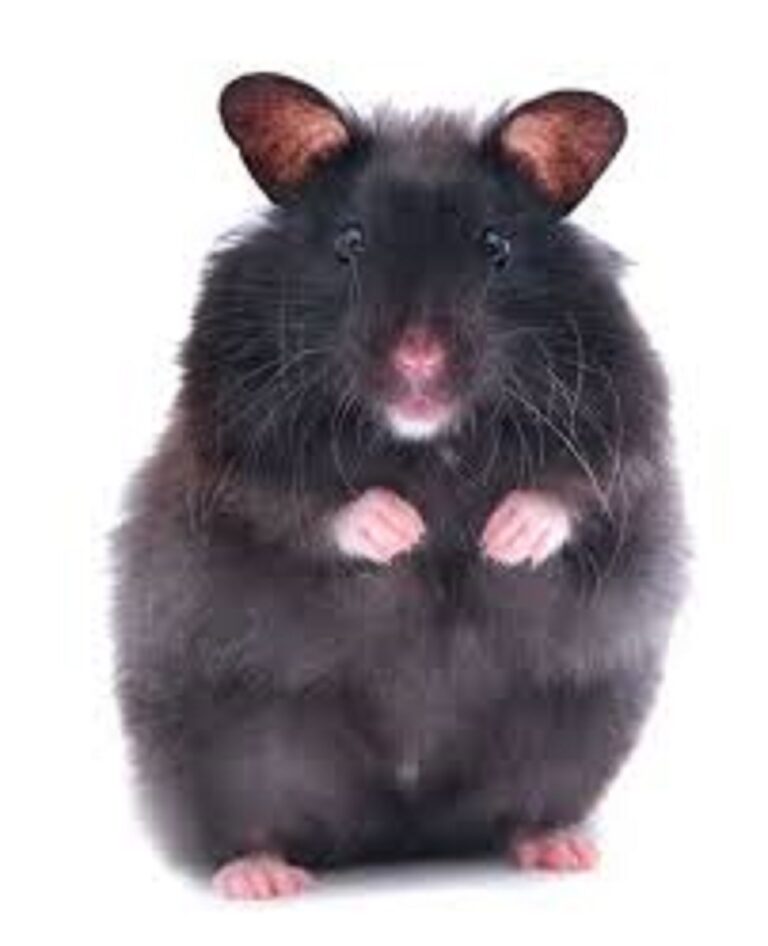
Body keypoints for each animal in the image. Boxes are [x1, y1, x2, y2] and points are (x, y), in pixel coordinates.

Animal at [113, 73, 687, 899]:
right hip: (227, 749)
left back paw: (559, 849)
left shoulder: (623, 425)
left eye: (495, 248)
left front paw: (501, 539)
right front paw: (402, 530)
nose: (419, 361)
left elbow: (577, 489)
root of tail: (403, 830)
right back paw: (261, 877)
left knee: (525, 805)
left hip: (570, 736)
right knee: (250, 819)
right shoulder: (231, 434)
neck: (426, 440)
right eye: (350, 245)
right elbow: (298, 503)